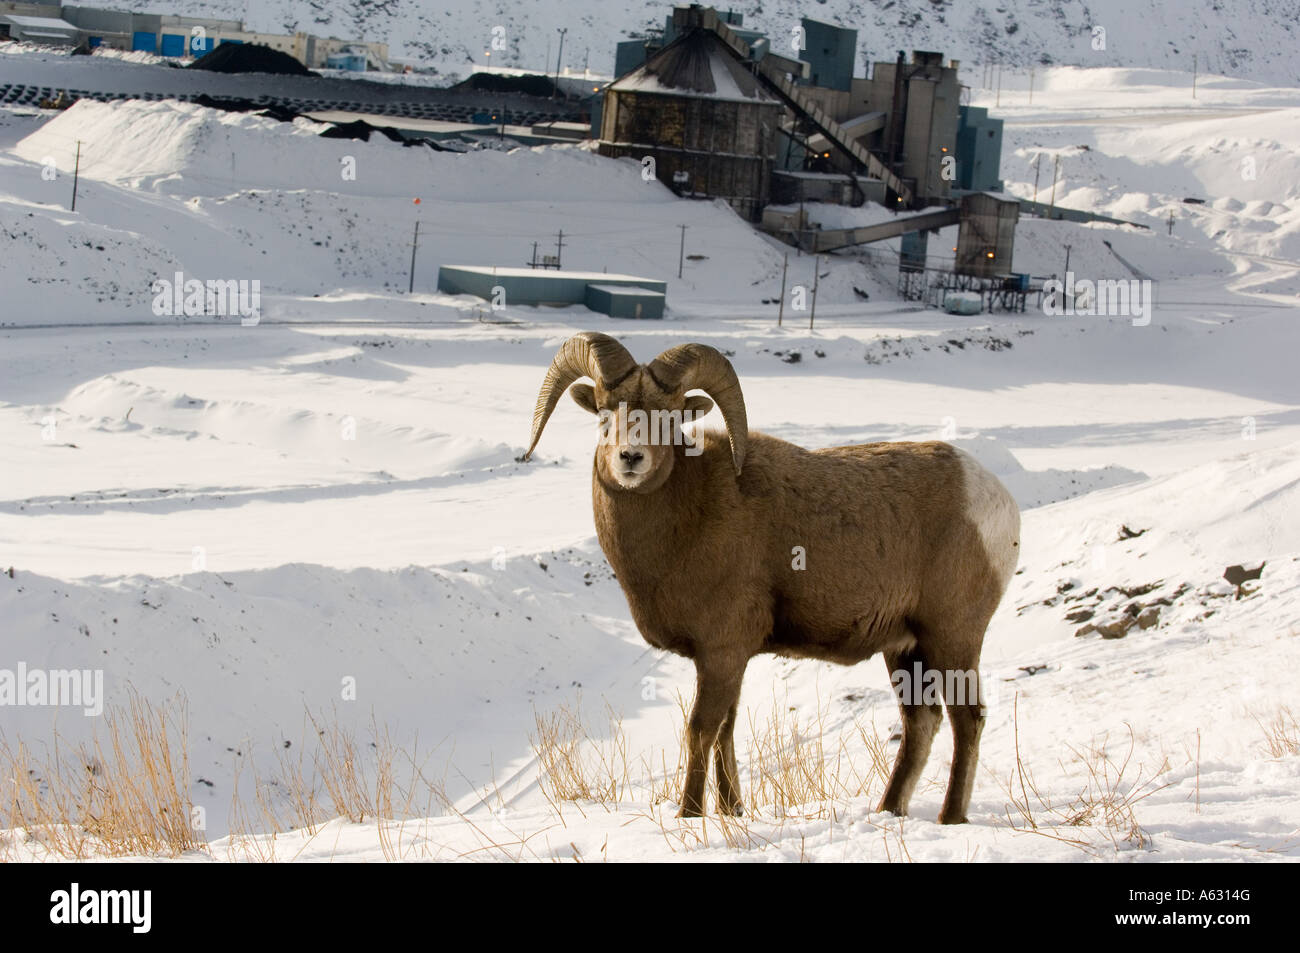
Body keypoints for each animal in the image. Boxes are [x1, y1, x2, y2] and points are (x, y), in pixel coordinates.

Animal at [525, 331, 1020, 823]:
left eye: (670, 416)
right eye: (605, 411)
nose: (631, 458)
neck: (689, 516)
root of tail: (997, 500)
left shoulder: (722, 651)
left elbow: (701, 729)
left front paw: (690, 815)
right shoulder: (730, 657)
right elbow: (726, 729)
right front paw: (732, 810)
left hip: (951, 638)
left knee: (967, 719)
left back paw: (950, 817)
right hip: (905, 649)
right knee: (921, 723)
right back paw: (888, 810)